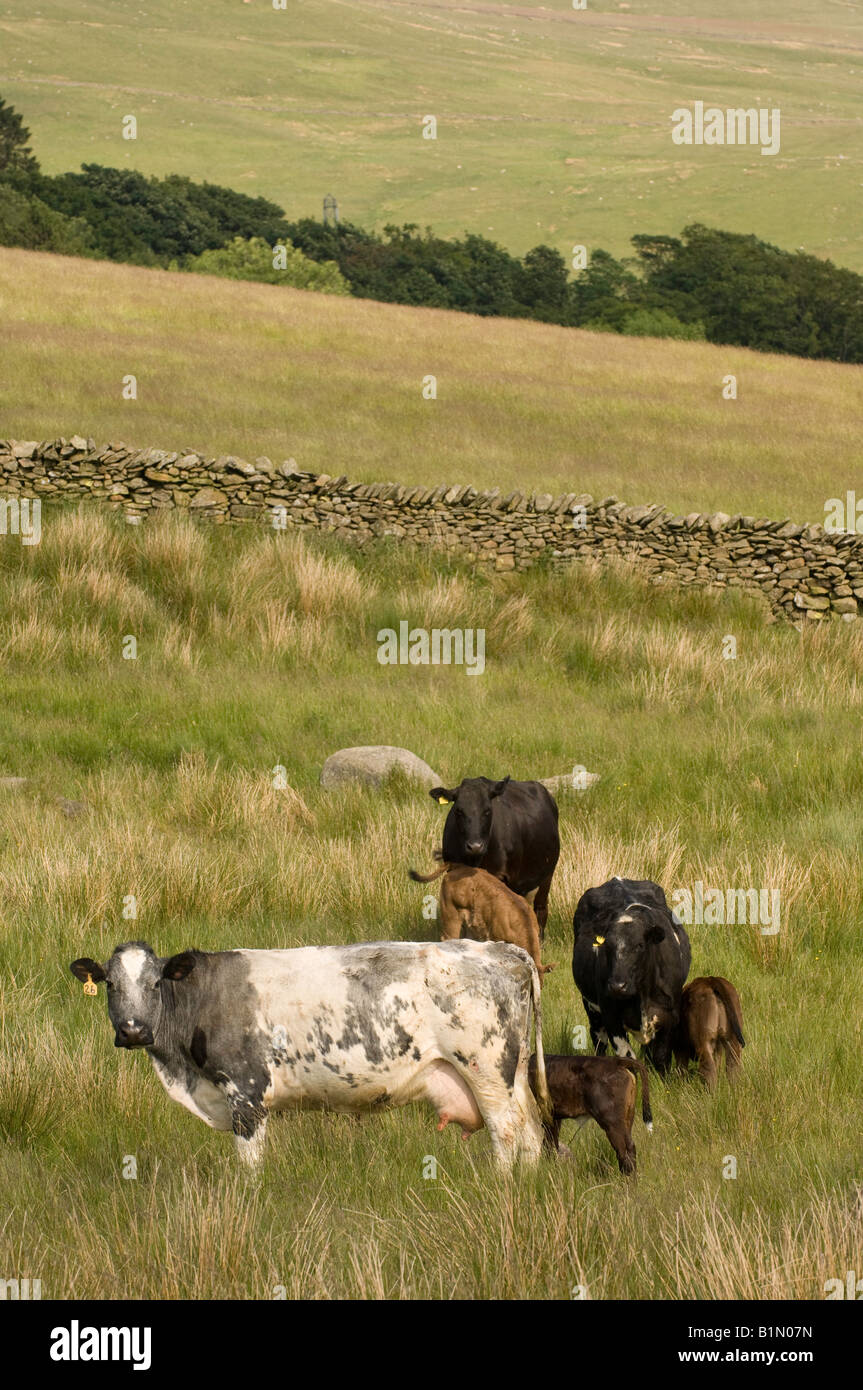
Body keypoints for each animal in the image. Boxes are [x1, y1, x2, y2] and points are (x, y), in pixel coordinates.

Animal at [69, 938, 553, 1168]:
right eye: (110, 985)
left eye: (155, 983)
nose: (133, 1030)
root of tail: (498, 949)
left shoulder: (246, 1094)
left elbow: (249, 1164)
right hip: (513, 1074)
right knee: (531, 1135)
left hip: (485, 1069)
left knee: (507, 1134)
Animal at [426, 776, 560, 937]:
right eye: (458, 811)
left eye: (487, 811)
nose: (475, 846)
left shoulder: (501, 876)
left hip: (547, 874)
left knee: (540, 908)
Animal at [571, 877, 691, 1073]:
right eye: (607, 946)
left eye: (640, 945)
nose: (617, 986)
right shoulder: (611, 1016)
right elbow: (627, 1057)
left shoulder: (670, 1016)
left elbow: (661, 1057)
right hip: (590, 1006)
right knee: (599, 1040)